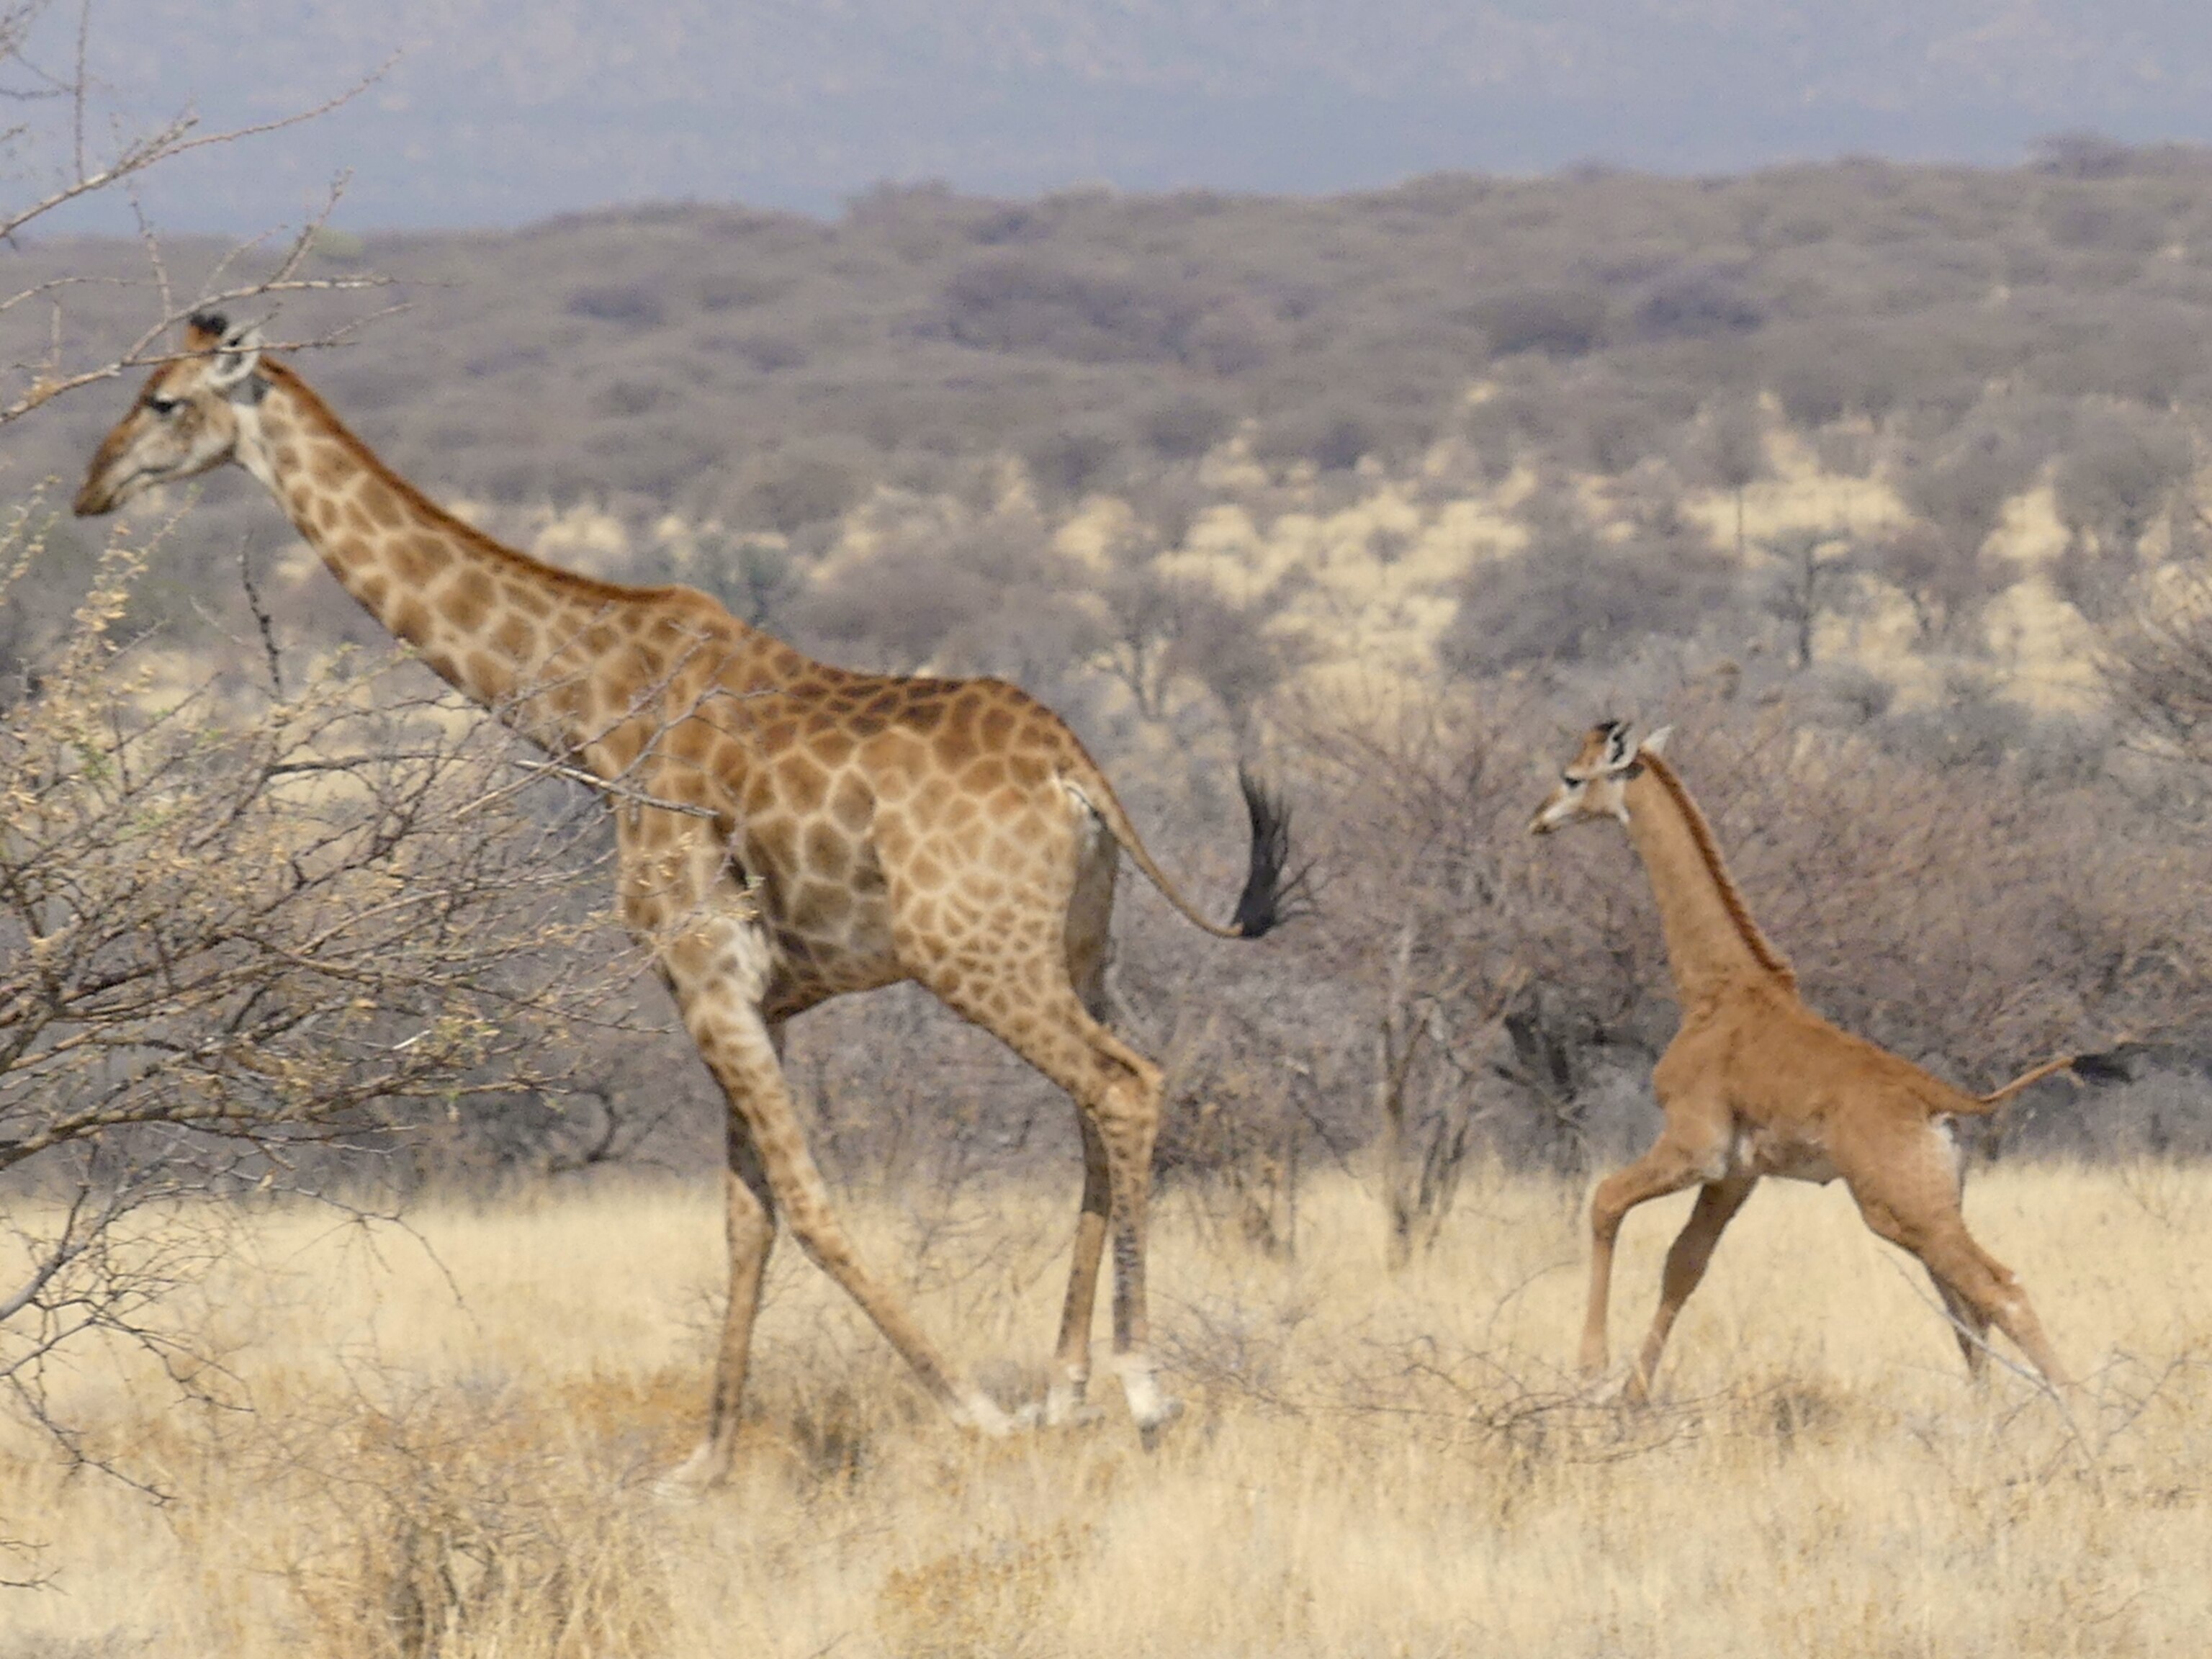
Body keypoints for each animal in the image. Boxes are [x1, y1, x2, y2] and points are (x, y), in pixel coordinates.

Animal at [75, 314, 1296, 1483]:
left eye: (163, 401)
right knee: (1095, 1107)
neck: (589, 710)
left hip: (976, 954)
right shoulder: (762, 999)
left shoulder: (703, 975)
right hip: (1078, 949)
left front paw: (974, 1417)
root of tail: (1075, 772)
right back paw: (1067, 1389)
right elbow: (746, 1220)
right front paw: (705, 1465)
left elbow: (805, 1204)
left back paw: (1137, 1389)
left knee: (1125, 1086)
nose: (91, 489)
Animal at [1528, 720, 2101, 1402]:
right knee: (1966, 1305)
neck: (1716, 988)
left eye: (1572, 777)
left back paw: (2082, 1415)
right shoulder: (1737, 1173)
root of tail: (1945, 1101)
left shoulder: (1695, 1146)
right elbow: (1683, 1265)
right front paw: (1632, 1398)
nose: (1538, 820)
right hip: (1926, 1209)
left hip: (1901, 1209)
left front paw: (1592, 1371)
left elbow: (1605, 1200)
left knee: (2002, 1290)